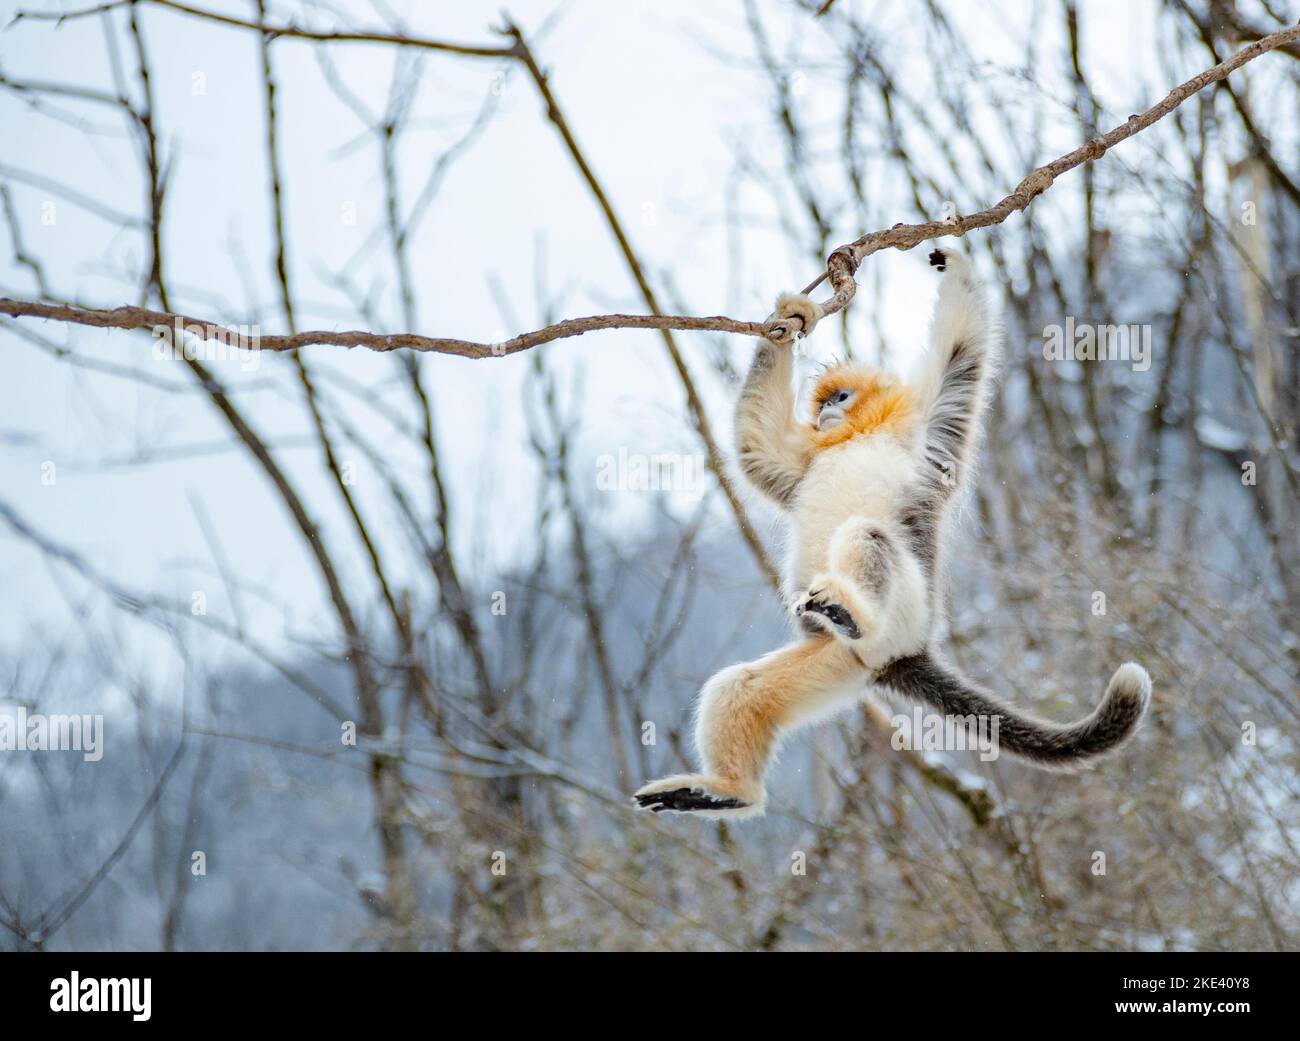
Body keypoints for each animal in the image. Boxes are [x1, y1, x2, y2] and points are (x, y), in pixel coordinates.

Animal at [634, 242, 1151, 819]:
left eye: (838, 398)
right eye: (824, 404)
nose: (825, 415)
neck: (862, 434)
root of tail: (902, 654)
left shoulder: (929, 431)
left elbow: (961, 351)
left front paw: (953, 261)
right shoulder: (803, 464)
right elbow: (758, 447)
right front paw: (793, 320)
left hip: (902, 610)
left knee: (868, 536)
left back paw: (848, 611)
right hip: (841, 664)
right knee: (740, 688)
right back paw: (724, 791)